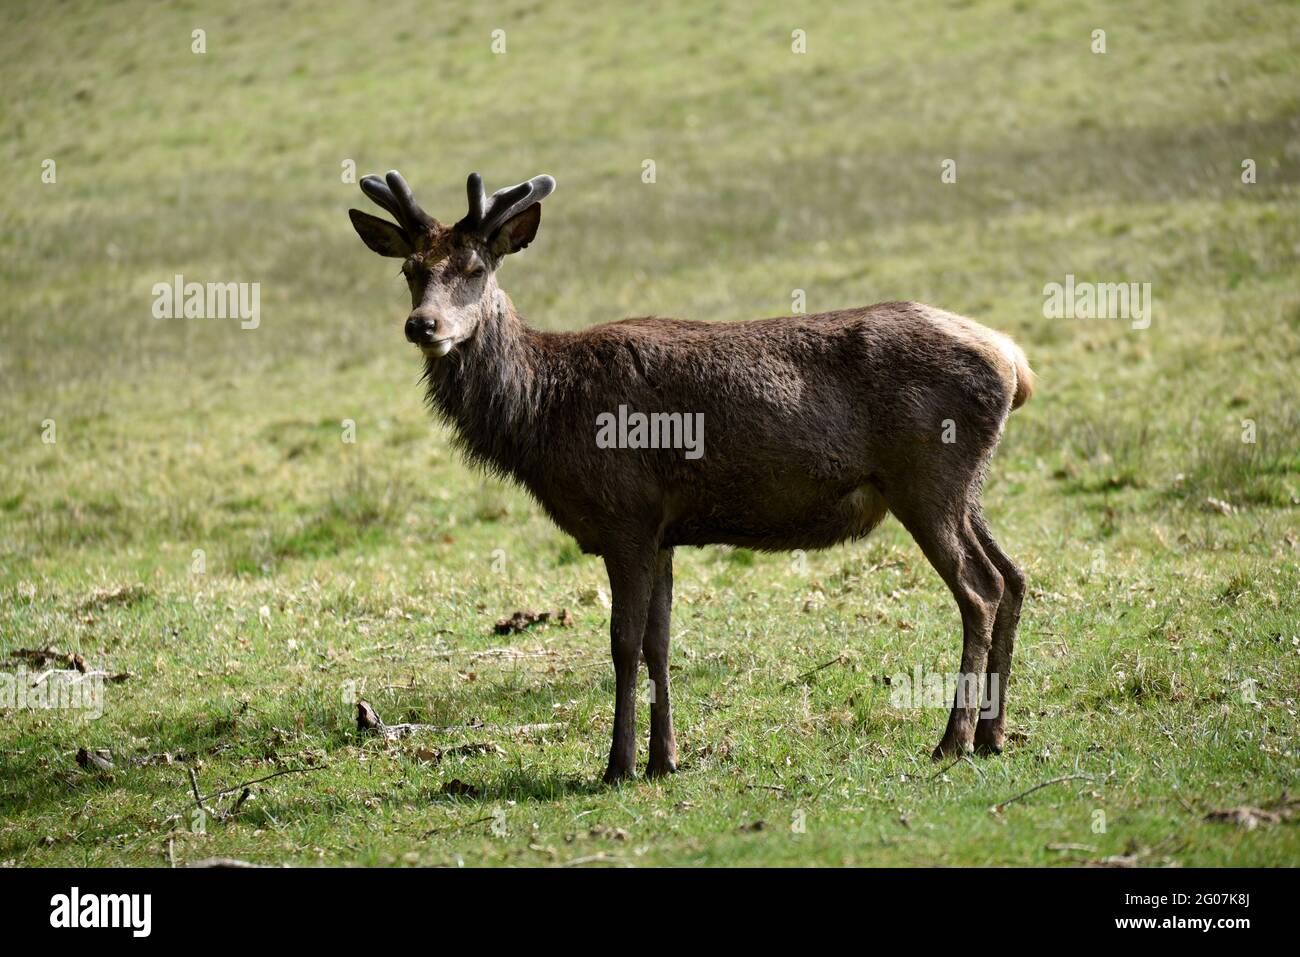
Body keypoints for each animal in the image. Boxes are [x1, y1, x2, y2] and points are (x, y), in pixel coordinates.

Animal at [349, 169, 1035, 783]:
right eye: (411, 270)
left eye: (475, 269)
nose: (423, 325)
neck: (545, 415)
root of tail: (1015, 362)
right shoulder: (662, 530)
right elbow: (660, 640)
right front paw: (665, 759)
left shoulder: (624, 514)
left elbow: (623, 641)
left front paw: (618, 765)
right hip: (961, 484)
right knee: (1015, 575)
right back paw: (994, 734)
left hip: (927, 478)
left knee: (980, 588)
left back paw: (952, 740)